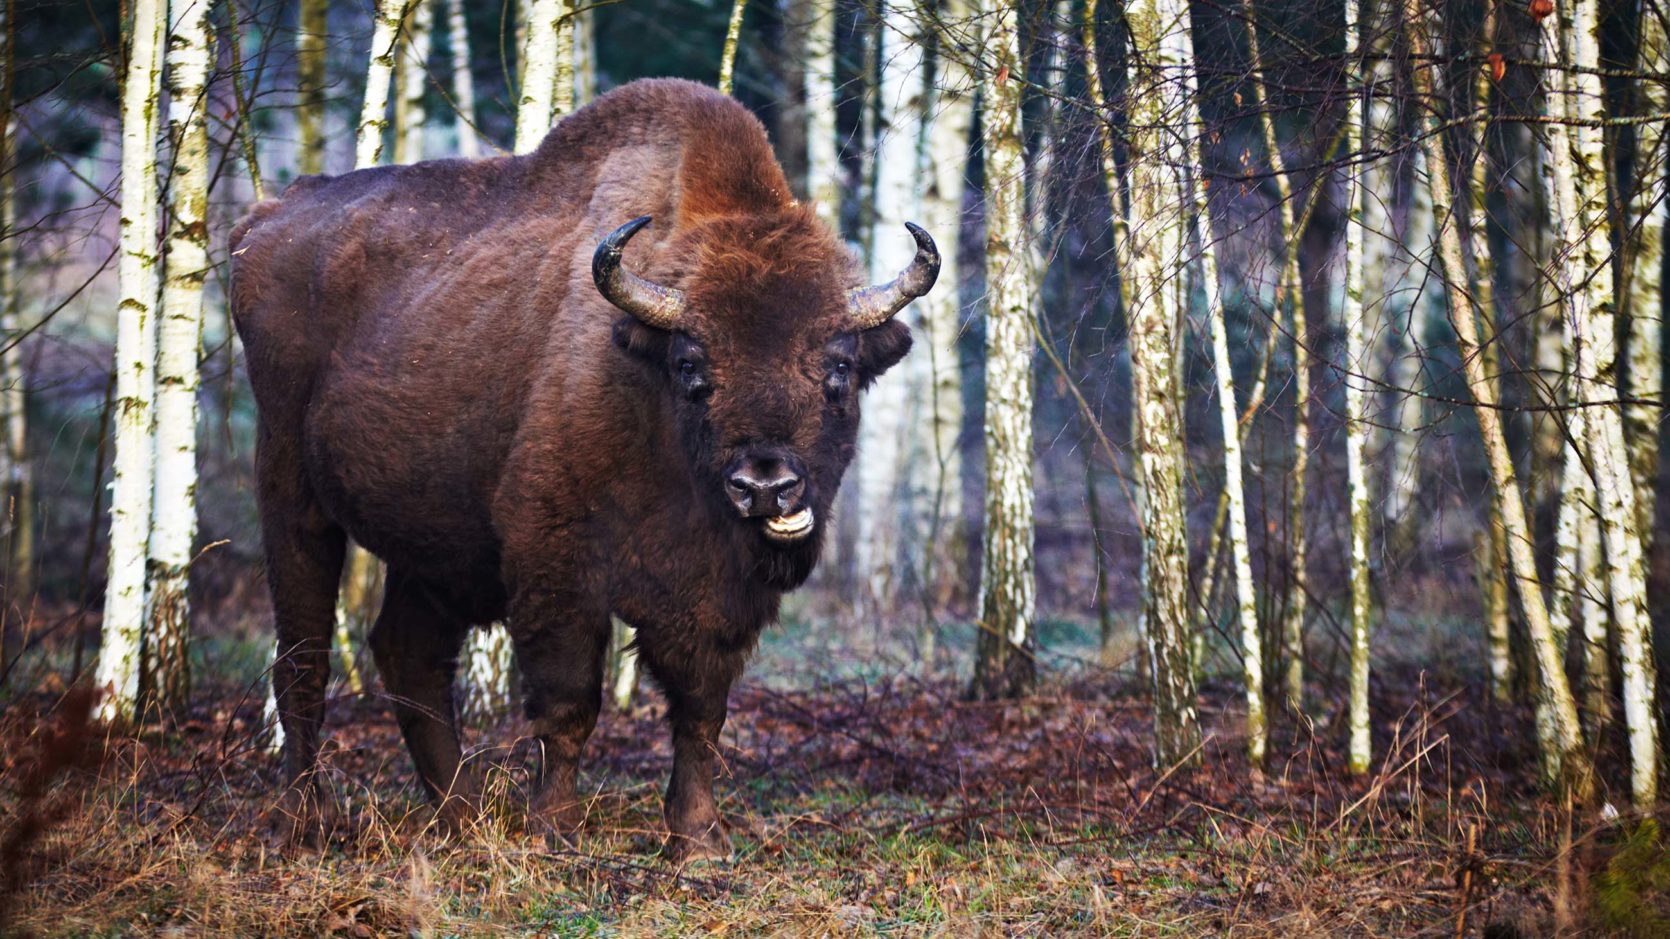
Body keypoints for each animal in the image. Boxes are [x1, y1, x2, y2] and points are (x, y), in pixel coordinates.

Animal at [229, 78, 937, 862]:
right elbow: (569, 702)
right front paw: (554, 830)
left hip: (439, 543)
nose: (764, 485)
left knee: (407, 650)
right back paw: (307, 821)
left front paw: (696, 838)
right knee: (303, 656)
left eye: (838, 368)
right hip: (290, 488)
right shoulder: (557, 564)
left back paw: (461, 814)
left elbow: (701, 711)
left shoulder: (717, 600)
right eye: (692, 367)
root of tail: (263, 221)